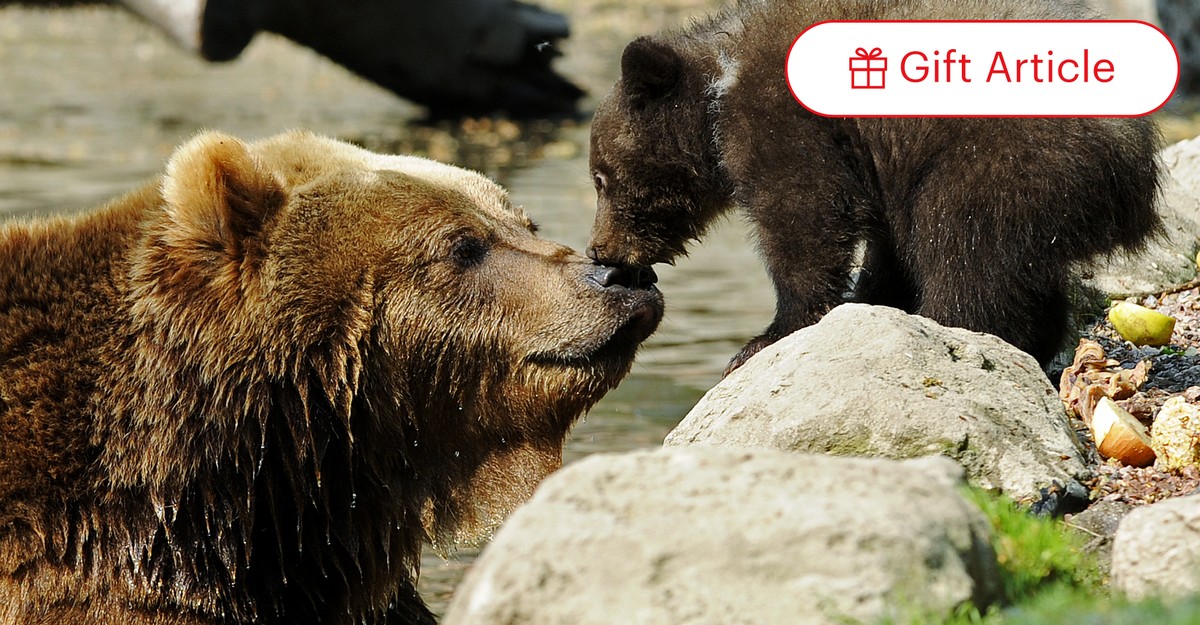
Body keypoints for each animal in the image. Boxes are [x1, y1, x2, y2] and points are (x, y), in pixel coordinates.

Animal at [586, 0, 1162, 373]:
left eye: (600, 177)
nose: (599, 250)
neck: (717, 95)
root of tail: (1134, 159)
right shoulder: (878, 165)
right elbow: (882, 244)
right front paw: (870, 300)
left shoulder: (790, 124)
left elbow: (805, 221)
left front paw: (762, 339)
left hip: (1002, 157)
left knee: (964, 248)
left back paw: (953, 326)